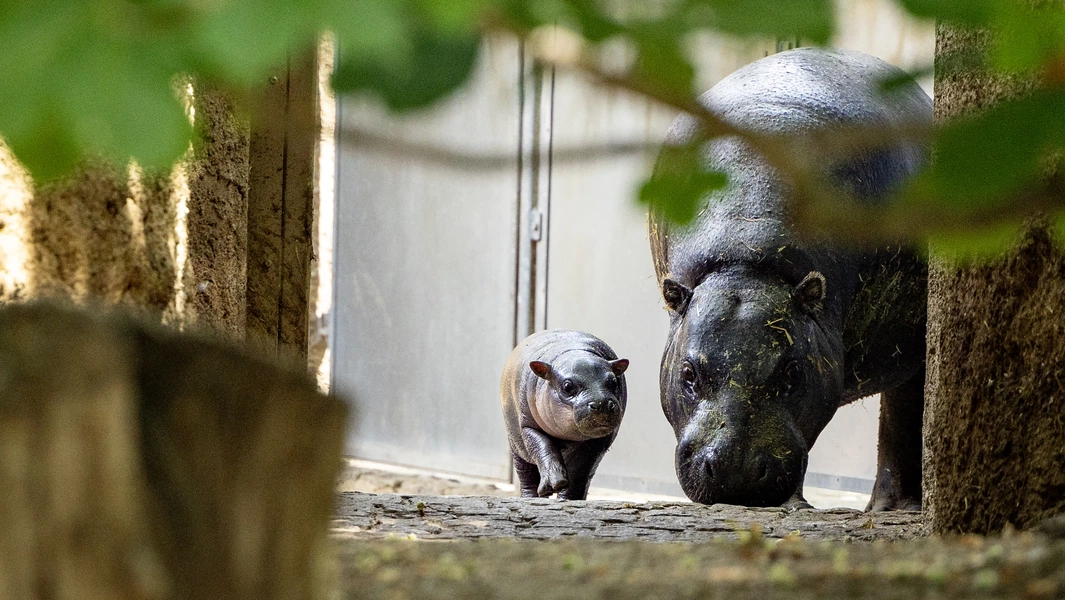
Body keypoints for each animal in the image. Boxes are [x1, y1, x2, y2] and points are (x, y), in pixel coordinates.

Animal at [500, 329, 629, 499]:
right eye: (567, 386)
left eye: (614, 381)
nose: (601, 404)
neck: (575, 352)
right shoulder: (528, 426)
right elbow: (543, 446)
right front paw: (553, 484)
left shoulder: (599, 440)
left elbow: (579, 469)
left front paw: (565, 493)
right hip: (516, 447)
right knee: (526, 476)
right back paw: (532, 496)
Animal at [649, 48, 931, 511]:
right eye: (688, 374)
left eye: (792, 373)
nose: (735, 471)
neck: (746, 260)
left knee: (902, 416)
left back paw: (893, 507)